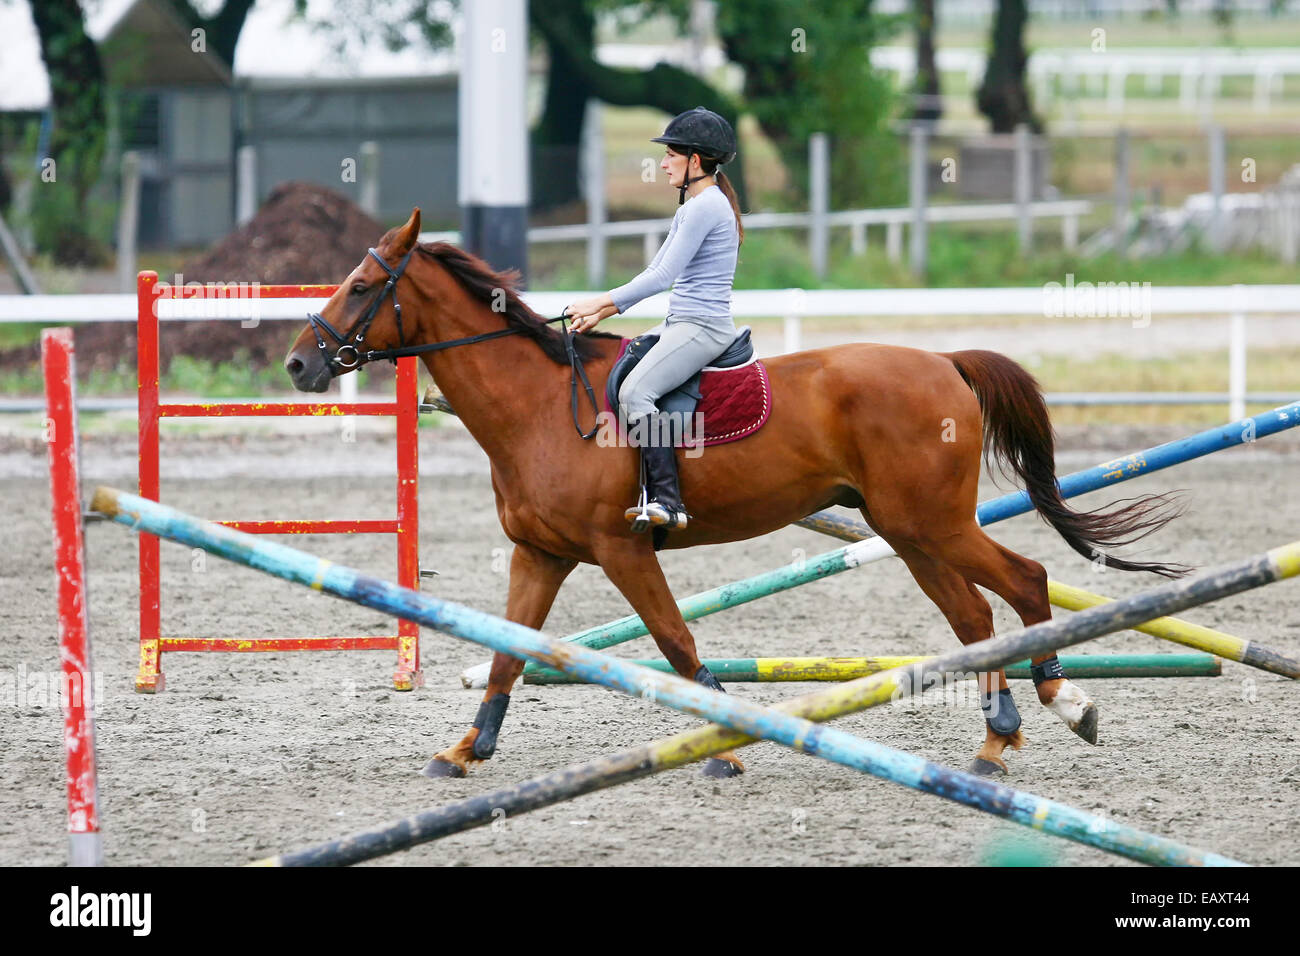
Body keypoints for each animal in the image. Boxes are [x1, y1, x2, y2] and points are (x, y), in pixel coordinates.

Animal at [285, 208, 1183, 779]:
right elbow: (508, 653)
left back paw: (1067, 703)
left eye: (362, 285)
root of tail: (944, 362)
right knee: (973, 618)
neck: (537, 406)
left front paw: (725, 747)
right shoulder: (540, 554)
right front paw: (466, 752)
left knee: (1026, 583)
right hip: (909, 531)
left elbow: (679, 645)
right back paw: (998, 742)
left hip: (931, 523)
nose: (299, 363)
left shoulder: (621, 549)